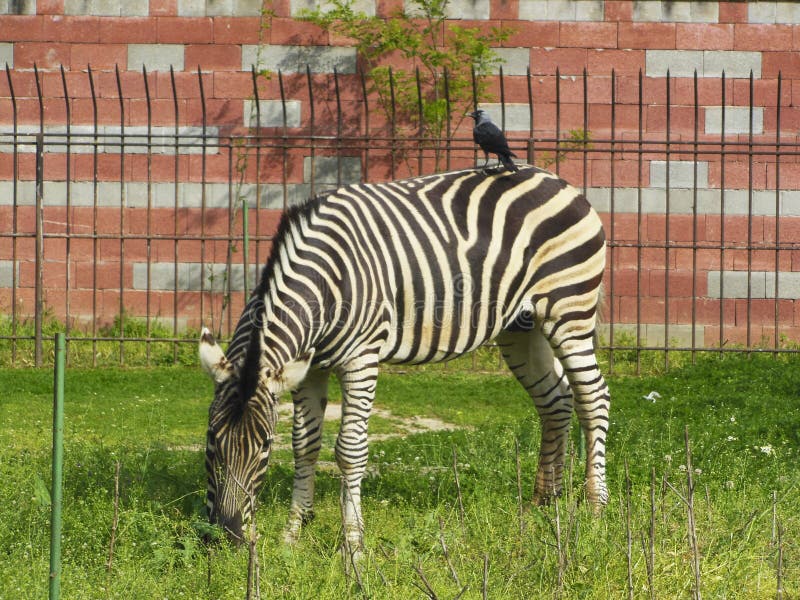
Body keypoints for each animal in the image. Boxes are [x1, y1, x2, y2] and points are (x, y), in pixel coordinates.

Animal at [198, 165, 610, 556]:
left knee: (594, 399)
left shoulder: (361, 358)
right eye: (211, 440)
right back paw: (544, 502)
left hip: (569, 310)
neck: (327, 283)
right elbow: (305, 445)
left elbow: (349, 450)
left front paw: (353, 545)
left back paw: (595, 510)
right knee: (556, 400)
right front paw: (293, 534)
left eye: (265, 446)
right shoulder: (309, 368)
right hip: (521, 328)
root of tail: (556, 180)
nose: (227, 537)